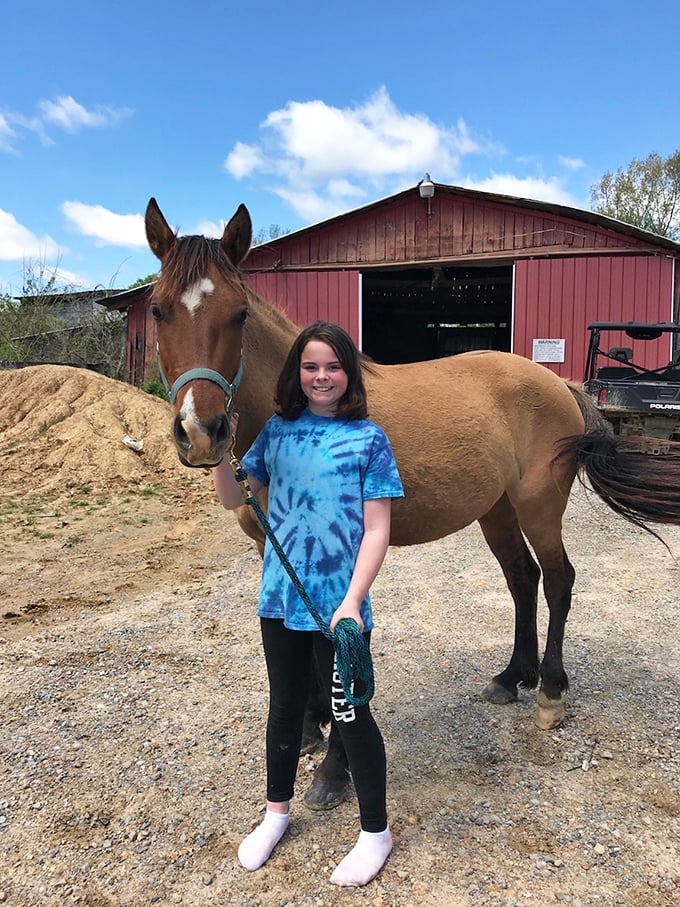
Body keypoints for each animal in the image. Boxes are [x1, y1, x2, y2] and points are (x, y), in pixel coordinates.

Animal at [144, 197, 680, 808]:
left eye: (238, 314)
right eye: (158, 310)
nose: (201, 432)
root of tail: (557, 384)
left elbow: (339, 641)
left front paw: (333, 770)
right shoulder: (273, 546)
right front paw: (308, 728)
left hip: (539, 508)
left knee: (559, 581)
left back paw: (549, 693)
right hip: (497, 511)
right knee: (523, 579)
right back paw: (510, 678)